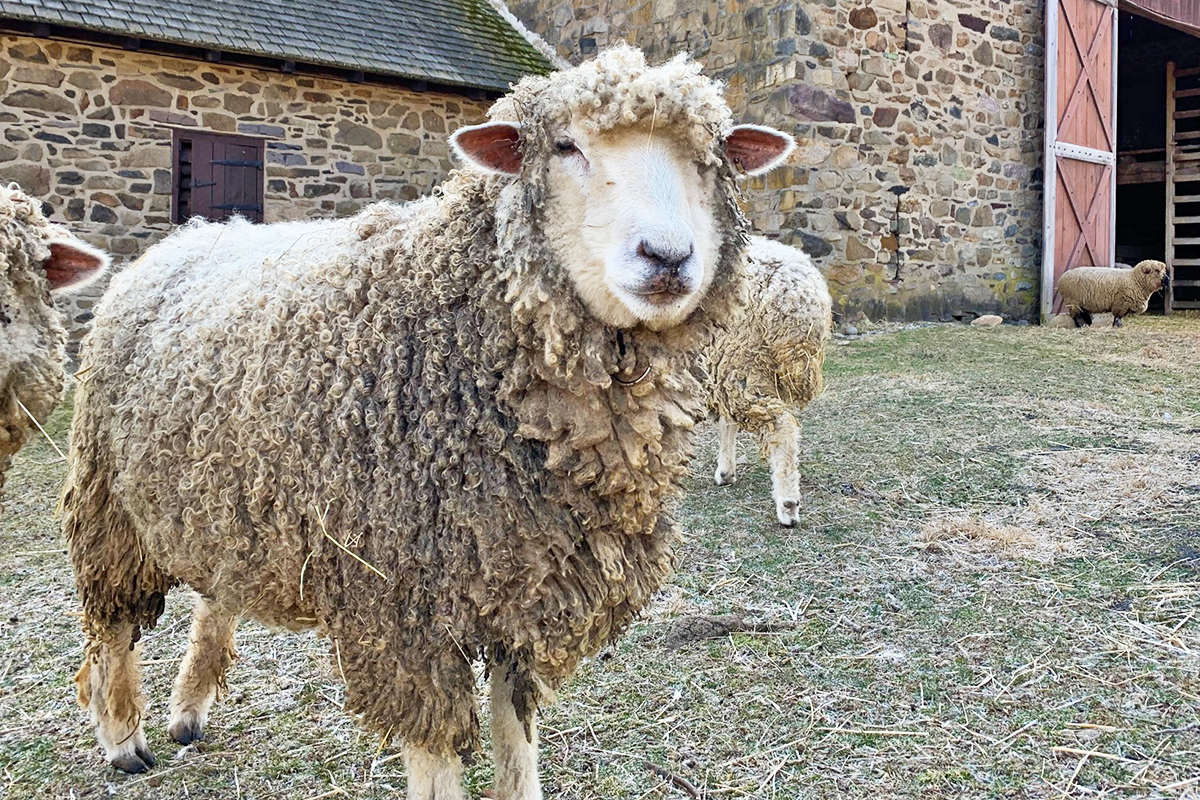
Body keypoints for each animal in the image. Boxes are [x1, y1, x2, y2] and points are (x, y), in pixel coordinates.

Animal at [60, 46, 795, 799]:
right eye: (564, 147)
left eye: (711, 158)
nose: (667, 257)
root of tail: (190, 237)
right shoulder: (403, 607)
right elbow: (436, 751)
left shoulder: (529, 583)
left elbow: (515, 731)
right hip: (109, 501)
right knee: (111, 623)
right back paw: (121, 738)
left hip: (223, 492)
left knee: (216, 591)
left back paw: (189, 709)